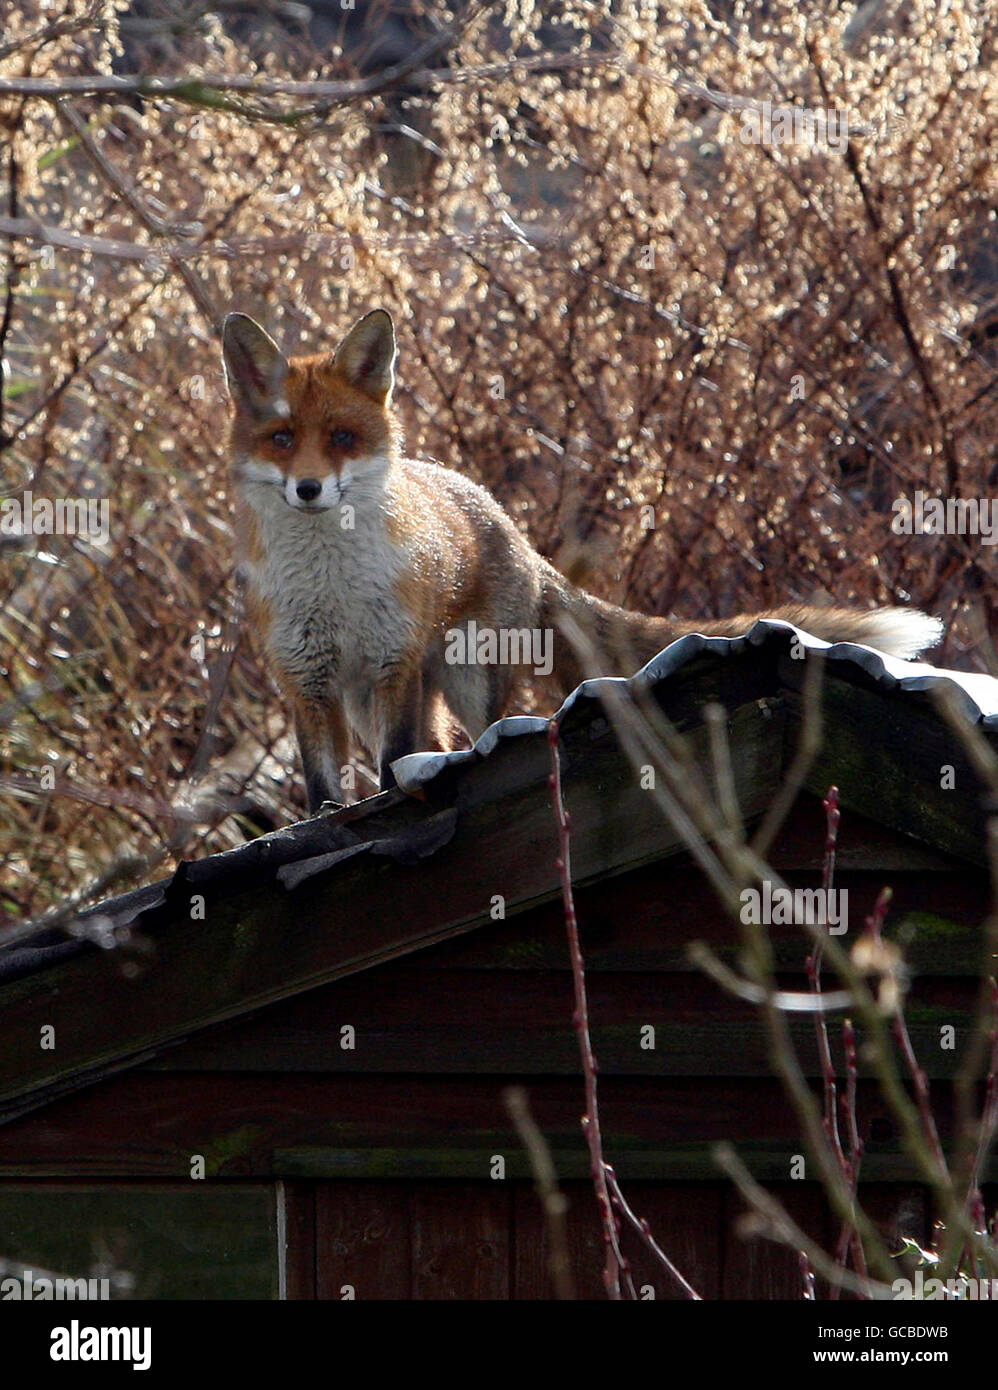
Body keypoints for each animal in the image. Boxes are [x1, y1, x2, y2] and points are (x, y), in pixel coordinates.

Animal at [222, 307, 943, 813]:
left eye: (342, 437)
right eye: (282, 439)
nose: (308, 489)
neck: (331, 584)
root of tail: (513, 529)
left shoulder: (389, 664)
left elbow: (395, 762)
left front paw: (390, 803)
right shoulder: (306, 678)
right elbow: (322, 789)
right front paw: (328, 820)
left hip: (469, 677)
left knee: (472, 741)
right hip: (384, 697)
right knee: (442, 746)